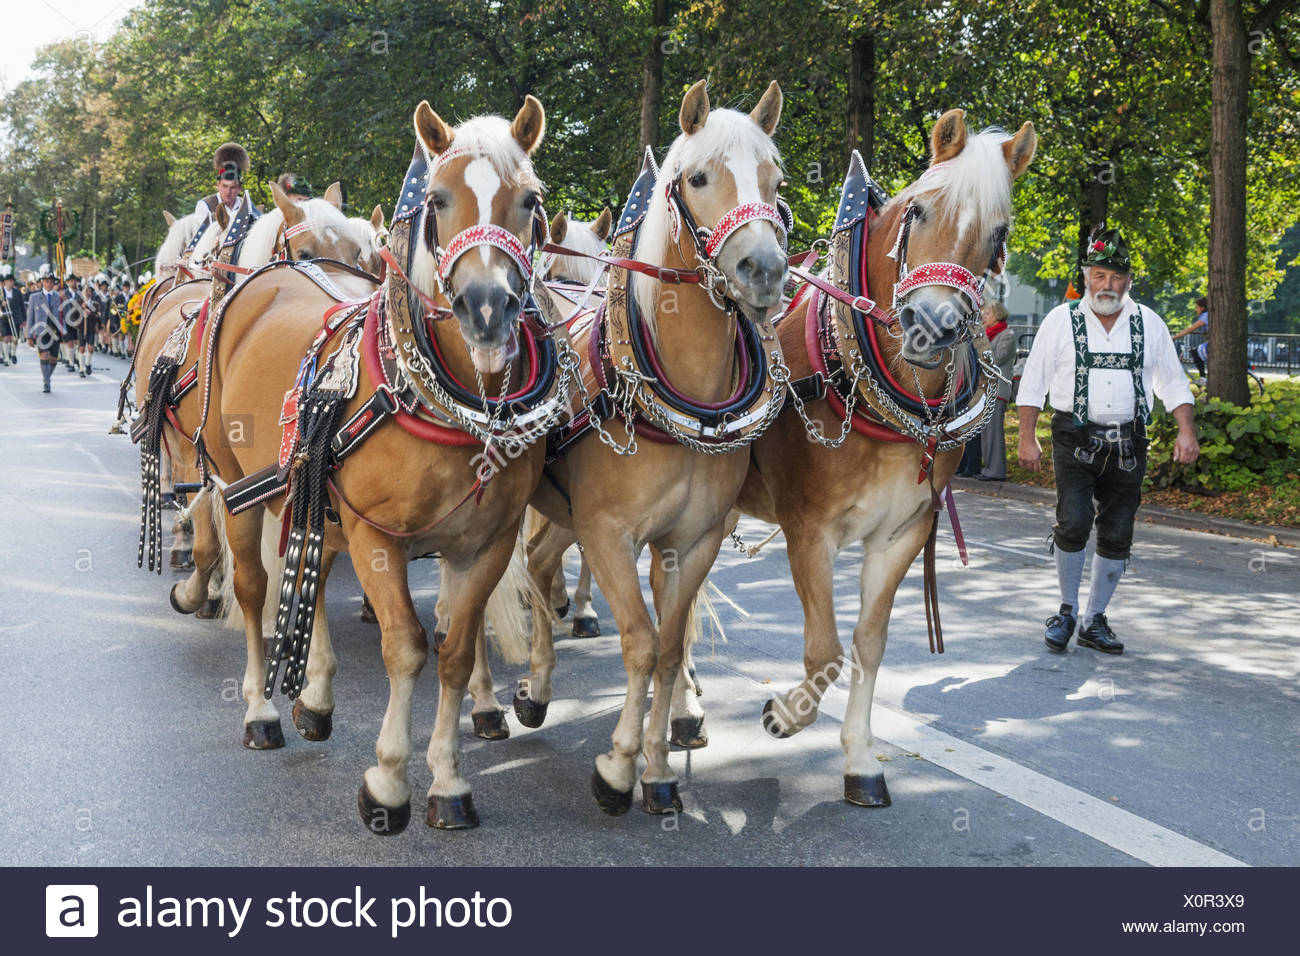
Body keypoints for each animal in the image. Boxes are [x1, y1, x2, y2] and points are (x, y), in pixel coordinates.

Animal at [197, 97, 568, 833]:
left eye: (531, 201)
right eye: (439, 199)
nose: (487, 310)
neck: (451, 405)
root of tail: (269, 277)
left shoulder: (487, 543)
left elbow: (455, 651)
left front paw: (448, 779)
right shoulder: (376, 534)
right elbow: (406, 646)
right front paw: (389, 780)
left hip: (309, 489)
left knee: (309, 572)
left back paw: (313, 696)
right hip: (236, 486)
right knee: (255, 587)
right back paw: (261, 709)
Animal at [520, 80, 790, 815]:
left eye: (776, 181)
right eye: (698, 178)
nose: (764, 270)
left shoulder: (692, 540)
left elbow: (670, 642)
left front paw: (662, 765)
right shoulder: (608, 531)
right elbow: (640, 642)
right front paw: (618, 766)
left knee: (538, 565)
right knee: (516, 570)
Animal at [691, 110, 1038, 807]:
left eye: (998, 234)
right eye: (921, 211)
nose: (931, 324)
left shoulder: (903, 533)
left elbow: (868, 644)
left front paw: (859, 758)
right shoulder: (809, 530)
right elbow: (824, 648)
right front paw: (787, 714)